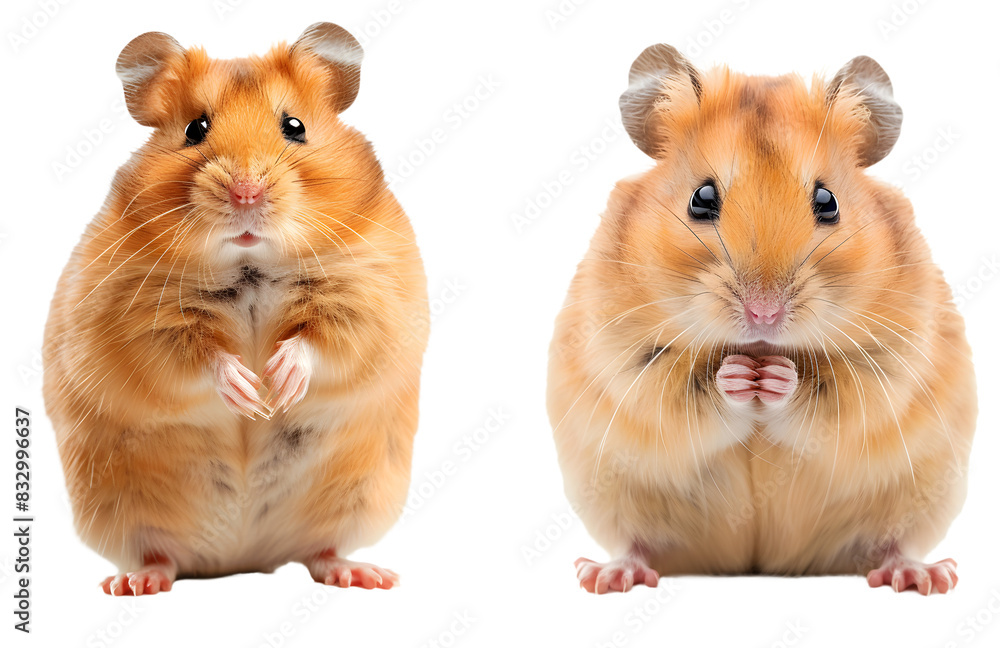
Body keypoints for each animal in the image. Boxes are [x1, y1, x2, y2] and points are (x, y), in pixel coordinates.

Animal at [42, 23, 428, 595]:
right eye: (195, 129)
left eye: (295, 127)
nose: (246, 193)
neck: (250, 263)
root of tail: (242, 558)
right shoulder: (141, 319)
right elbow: (197, 357)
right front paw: (249, 393)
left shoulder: (370, 298)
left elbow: (324, 341)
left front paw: (277, 384)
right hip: (120, 509)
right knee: (159, 554)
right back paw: (134, 582)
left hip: (361, 494)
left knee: (319, 551)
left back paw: (366, 575)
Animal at [547, 45, 977, 595]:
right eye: (702, 198)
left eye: (828, 201)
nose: (764, 314)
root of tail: (759, 563)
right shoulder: (618, 351)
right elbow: (680, 387)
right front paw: (738, 377)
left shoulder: (899, 353)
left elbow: (833, 391)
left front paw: (774, 378)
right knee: (638, 542)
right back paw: (608, 576)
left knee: (893, 541)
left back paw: (922, 576)